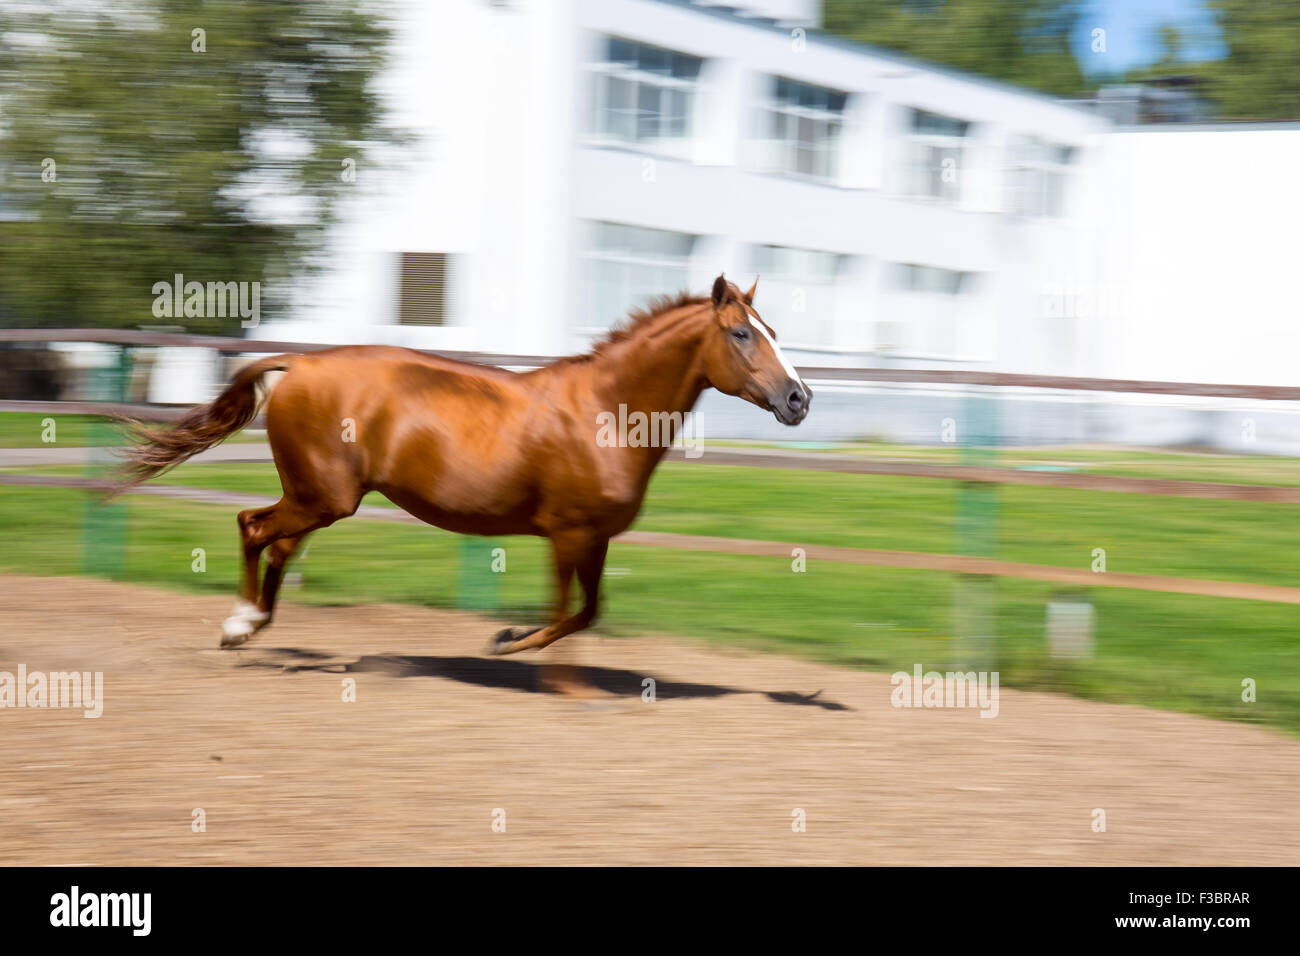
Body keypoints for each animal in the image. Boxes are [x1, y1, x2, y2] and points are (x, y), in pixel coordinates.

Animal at [118, 274, 810, 686]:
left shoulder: (595, 537)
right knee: (252, 526)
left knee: (277, 543)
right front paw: (520, 653)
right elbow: (566, 613)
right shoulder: (567, 532)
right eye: (742, 333)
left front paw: (509, 638)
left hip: (317, 499)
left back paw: (255, 627)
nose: (798, 399)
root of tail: (298, 364)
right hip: (323, 497)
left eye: (774, 332)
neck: (606, 410)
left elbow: (587, 612)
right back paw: (238, 625)